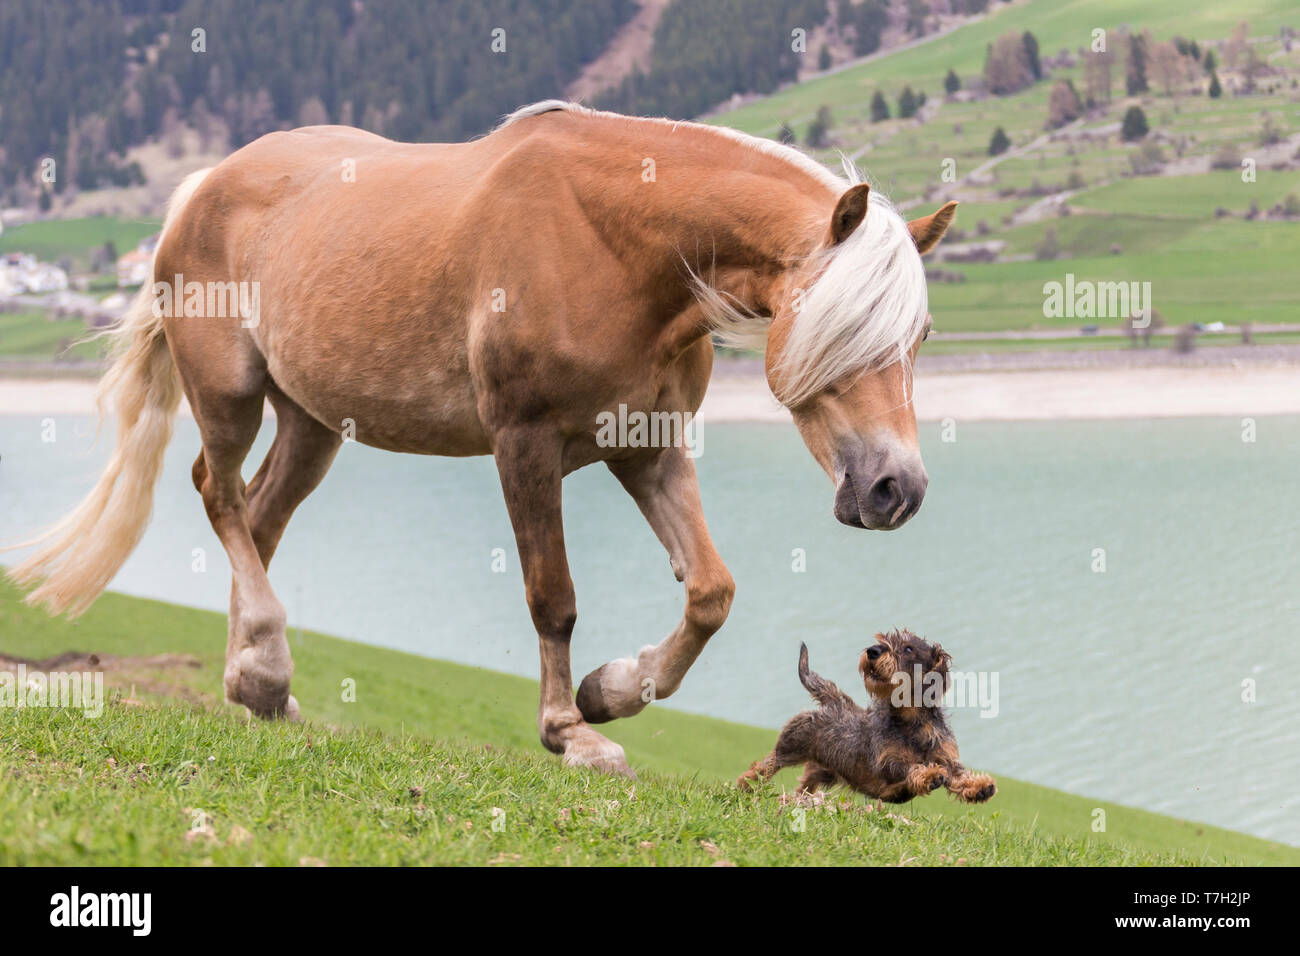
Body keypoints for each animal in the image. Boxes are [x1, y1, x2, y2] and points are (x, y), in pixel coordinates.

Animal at [9, 101, 956, 775]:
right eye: (842, 328)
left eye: (918, 335)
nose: (897, 489)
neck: (614, 242)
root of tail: (203, 186)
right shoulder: (524, 446)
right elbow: (553, 596)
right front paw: (573, 733)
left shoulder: (645, 447)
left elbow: (711, 592)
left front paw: (612, 690)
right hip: (229, 393)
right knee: (218, 493)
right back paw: (267, 668)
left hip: (313, 423)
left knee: (259, 516)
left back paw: (253, 683)